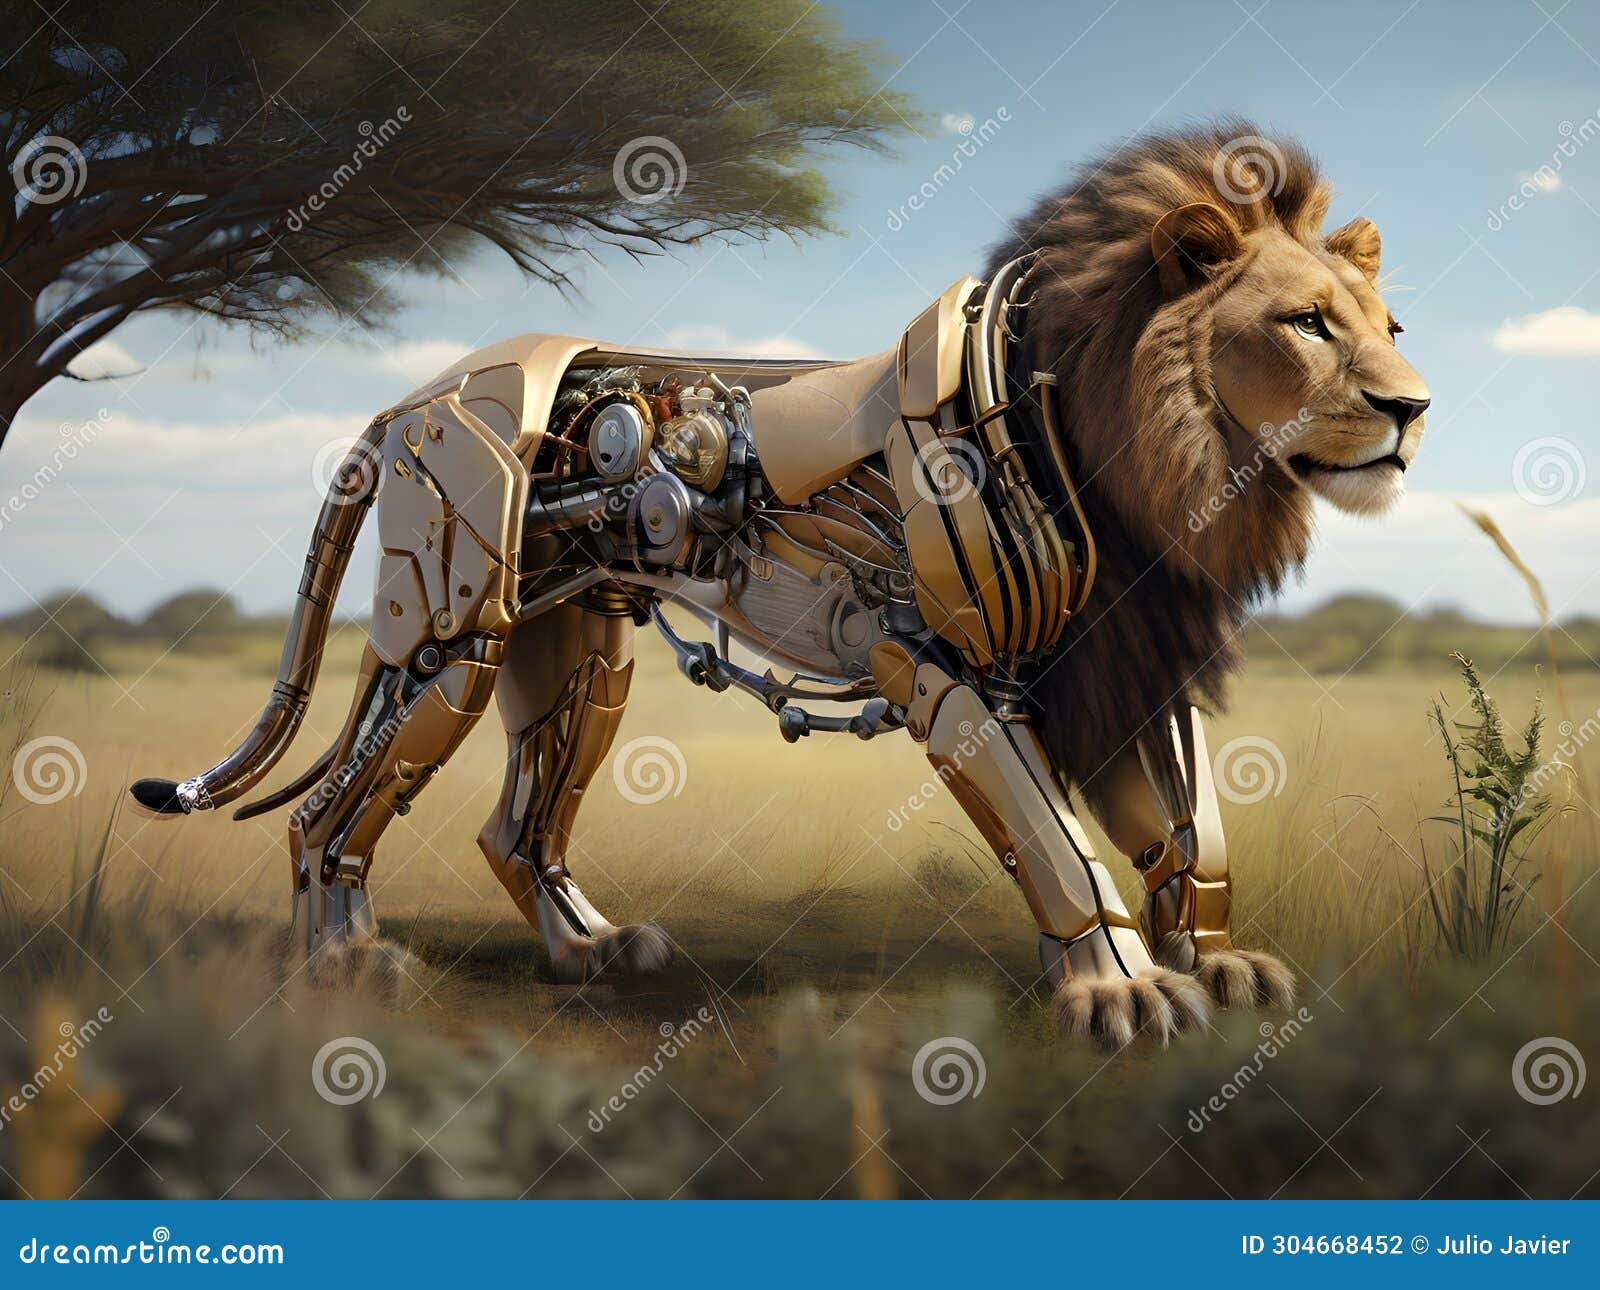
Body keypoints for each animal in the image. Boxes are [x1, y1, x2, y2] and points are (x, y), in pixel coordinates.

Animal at [132, 123, 1430, 1049]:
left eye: (1389, 323)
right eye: (1306, 324)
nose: (1413, 409)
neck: (1143, 450)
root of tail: (416, 394)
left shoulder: (1122, 659)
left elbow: (1187, 827)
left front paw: (1212, 957)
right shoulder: (950, 668)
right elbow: (1057, 842)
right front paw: (1119, 991)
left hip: (581, 649)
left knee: (516, 826)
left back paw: (592, 952)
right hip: (453, 638)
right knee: (323, 813)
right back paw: (345, 965)